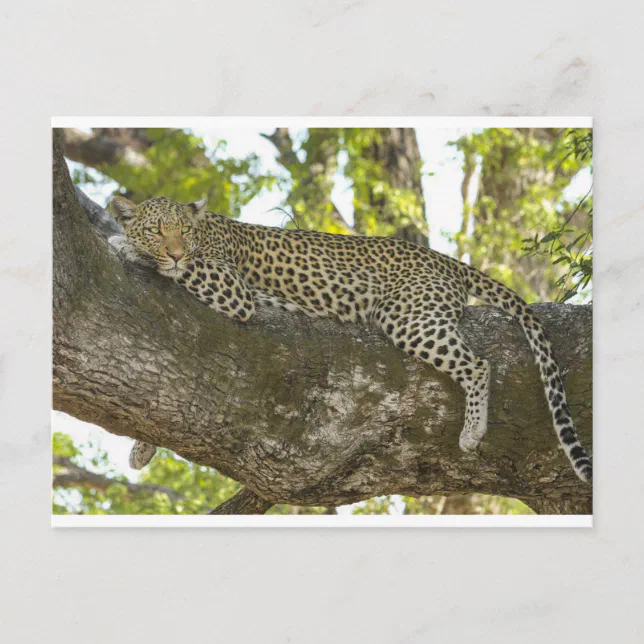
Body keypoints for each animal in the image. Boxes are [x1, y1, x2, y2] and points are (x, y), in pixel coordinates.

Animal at [110, 195, 592, 483]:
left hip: (408, 316)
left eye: (183, 232)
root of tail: (443, 259)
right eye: (157, 230)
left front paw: (122, 244)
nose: (174, 250)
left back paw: (472, 432)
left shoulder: (232, 289)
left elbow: (183, 268)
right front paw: (142, 448)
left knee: (478, 365)